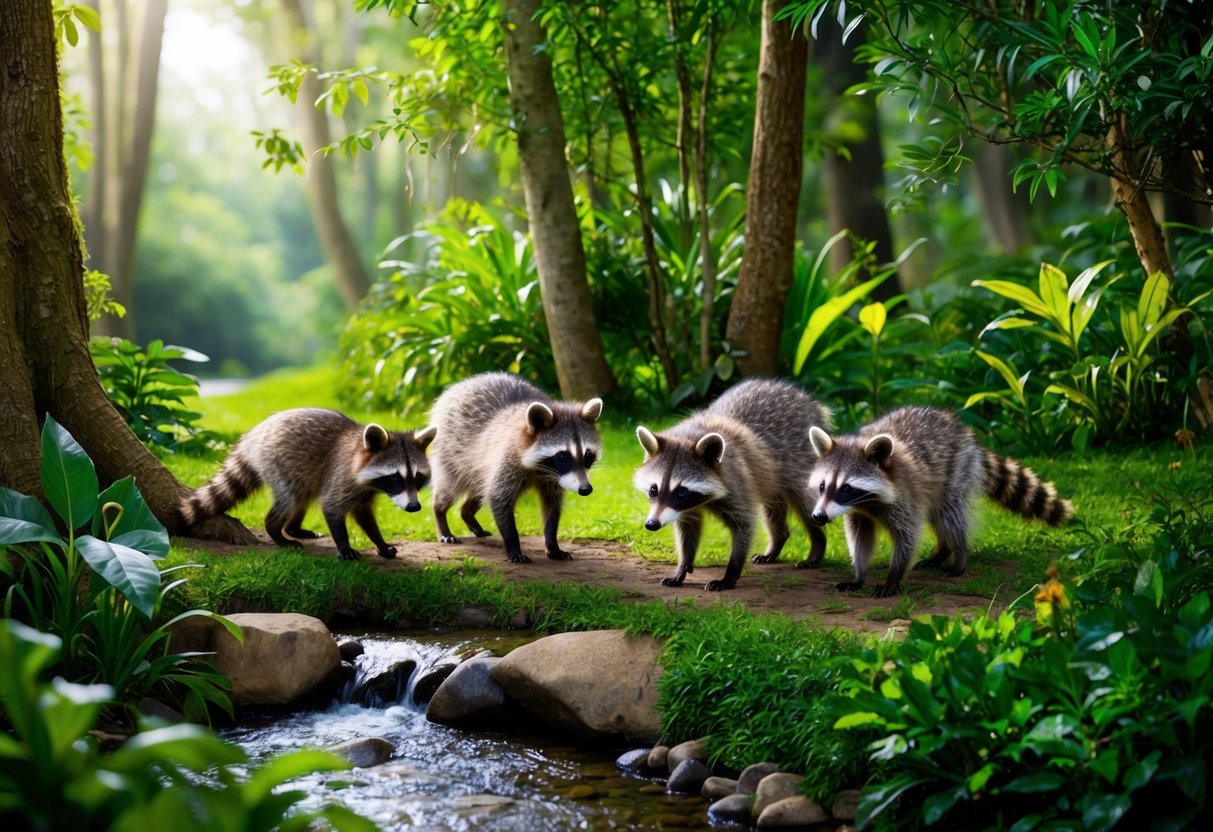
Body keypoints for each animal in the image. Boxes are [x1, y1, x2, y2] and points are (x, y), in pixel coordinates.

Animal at [180, 408, 436, 561]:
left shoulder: (364, 493)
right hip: (278, 462)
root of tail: (253, 437)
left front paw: (380, 542)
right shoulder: (341, 476)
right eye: (395, 478)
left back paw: (293, 527)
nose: (414, 507)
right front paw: (343, 545)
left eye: (418, 477)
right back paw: (276, 530)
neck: (360, 456)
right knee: (289, 499)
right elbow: (331, 507)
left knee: (303, 497)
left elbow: (365, 517)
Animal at [426, 372, 604, 564]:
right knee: (449, 488)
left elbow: (552, 506)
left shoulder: (553, 480)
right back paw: (441, 516)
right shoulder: (507, 461)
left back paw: (468, 514)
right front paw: (513, 544)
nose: (586, 489)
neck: (541, 470)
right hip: (451, 453)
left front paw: (552, 544)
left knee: (480, 490)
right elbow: (498, 499)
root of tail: (463, 384)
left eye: (587, 455)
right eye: (563, 456)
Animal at [634, 379, 832, 591]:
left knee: (806, 503)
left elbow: (744, 524)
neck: (691, 435)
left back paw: (818, 543)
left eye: (681, 492)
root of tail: (806, 399)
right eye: (654, 489)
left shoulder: (736, 482)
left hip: (801, 462)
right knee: (773, 504)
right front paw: (683, 565)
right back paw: (778, 540)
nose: (652, 524)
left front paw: (730, 573)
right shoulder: (684, 507)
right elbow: (687, 527)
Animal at [808, 406, 1074, 597]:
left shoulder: (905, 497)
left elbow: (907, 537)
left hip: (956, 474)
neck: (868, 502)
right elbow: (860, 538)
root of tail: (963, 431)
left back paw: (959, 554)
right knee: (939, 517)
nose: (818, 517)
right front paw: (859, 574)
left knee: (951, 516)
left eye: (846, 488)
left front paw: (894, 576)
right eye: (822, 486)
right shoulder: (859, 511)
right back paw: (944, 550)